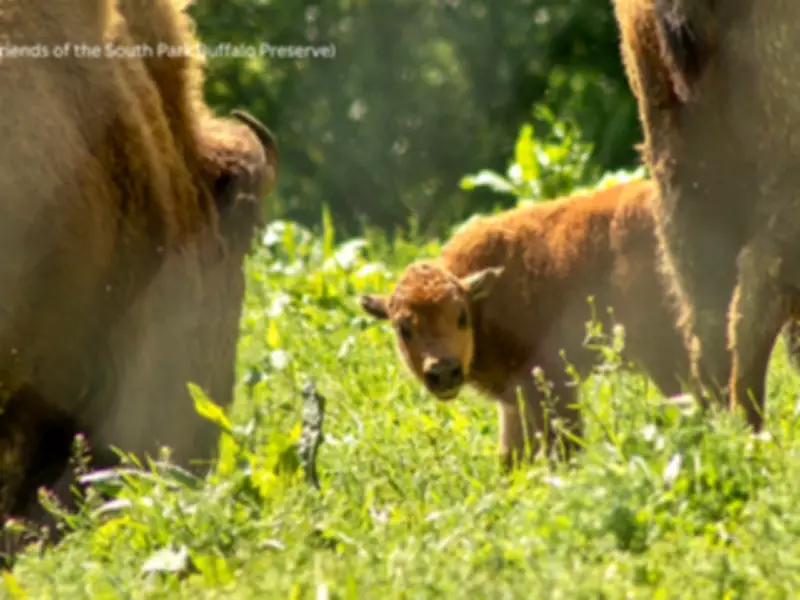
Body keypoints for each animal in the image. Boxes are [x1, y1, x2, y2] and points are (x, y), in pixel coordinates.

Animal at [359, 179, 695, 469]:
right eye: (403, 328)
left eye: (461, 316)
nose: (443, 371)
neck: (483, 299)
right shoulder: (512, 400)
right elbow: (511, 457)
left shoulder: (550, 382)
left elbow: (563, 446)